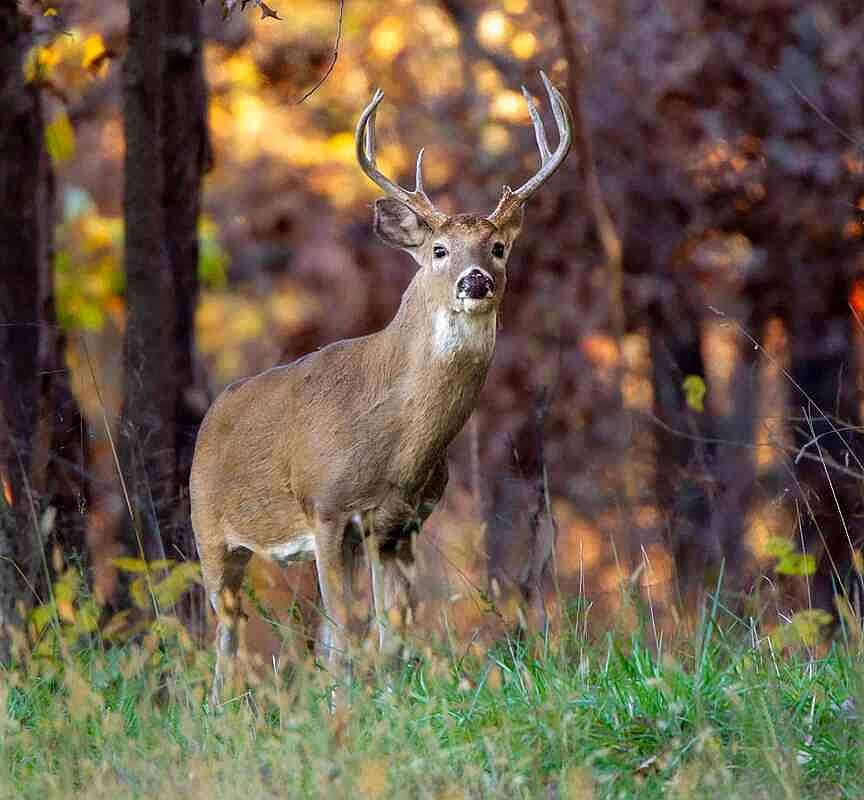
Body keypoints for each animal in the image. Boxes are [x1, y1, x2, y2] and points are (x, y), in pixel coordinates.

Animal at [190, 71, 572, 703]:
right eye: (438, 251)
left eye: (497, 248)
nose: (475, 280)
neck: (397, 445)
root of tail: (213, 411)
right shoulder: (326, 507)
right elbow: (349, 629)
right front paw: (350, 711)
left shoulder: (399, 522)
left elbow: (393, 633)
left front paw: (387, 706)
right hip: (210, 530)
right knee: (225, 634)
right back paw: (220, 713)